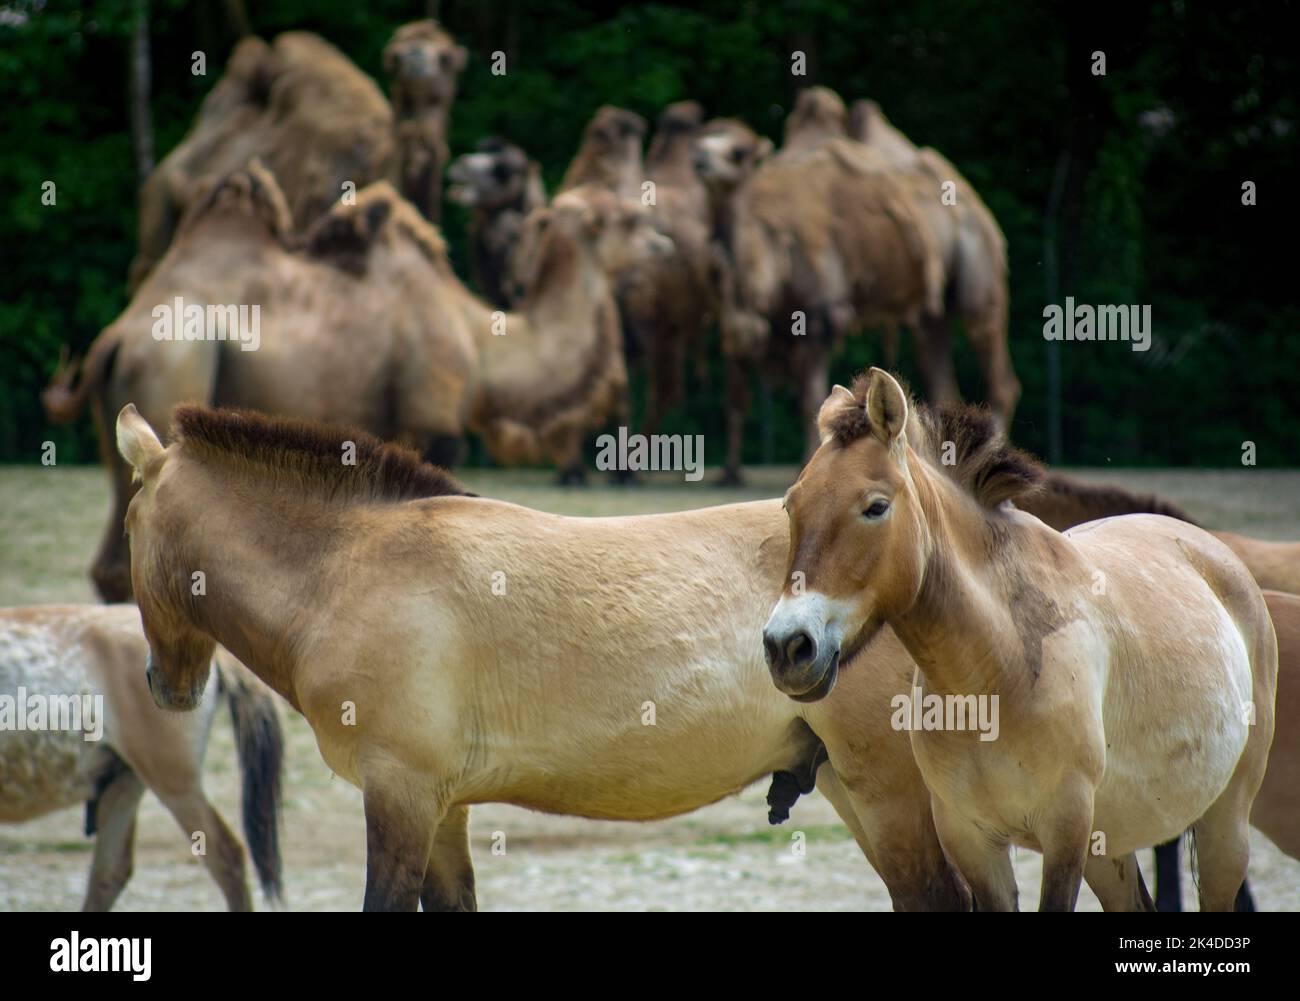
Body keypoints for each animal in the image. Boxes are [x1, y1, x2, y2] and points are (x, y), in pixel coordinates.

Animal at [113, 401, 970, 911]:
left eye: (125, 526)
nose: (164, 682)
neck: (349, 570)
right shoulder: (442, 810)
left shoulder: (398, 795)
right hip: (854, 791)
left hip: (888, 794)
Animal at [762, 368, 1277, 911]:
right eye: (790, 506)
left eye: (875, 507)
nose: (786, 646)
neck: (994, 669)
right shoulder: (972, 839)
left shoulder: (1064, 831)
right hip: (1110, 847)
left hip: (1223, 828)